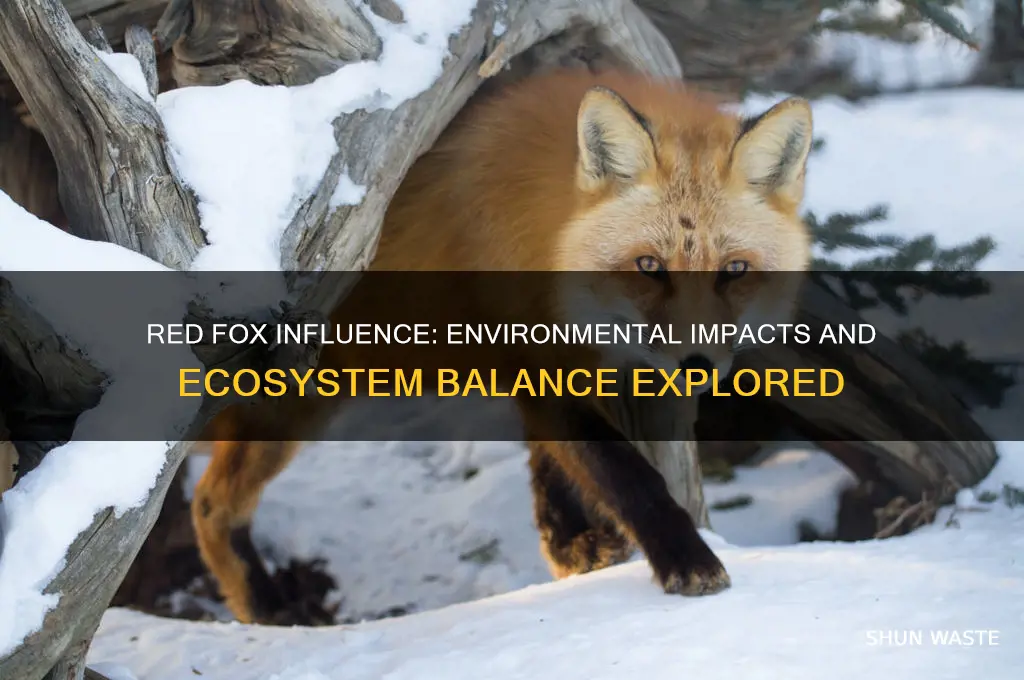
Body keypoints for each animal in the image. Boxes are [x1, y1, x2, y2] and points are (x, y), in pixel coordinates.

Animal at [191, 67, 814, 625]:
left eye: (734, 271)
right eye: (648, 266)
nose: (697, 364)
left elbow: (552, 457)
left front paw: (569, 541)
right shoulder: (532, 354)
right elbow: (624, 470)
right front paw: (684, 559)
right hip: (291, 401)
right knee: (210, 505)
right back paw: (266, 611)